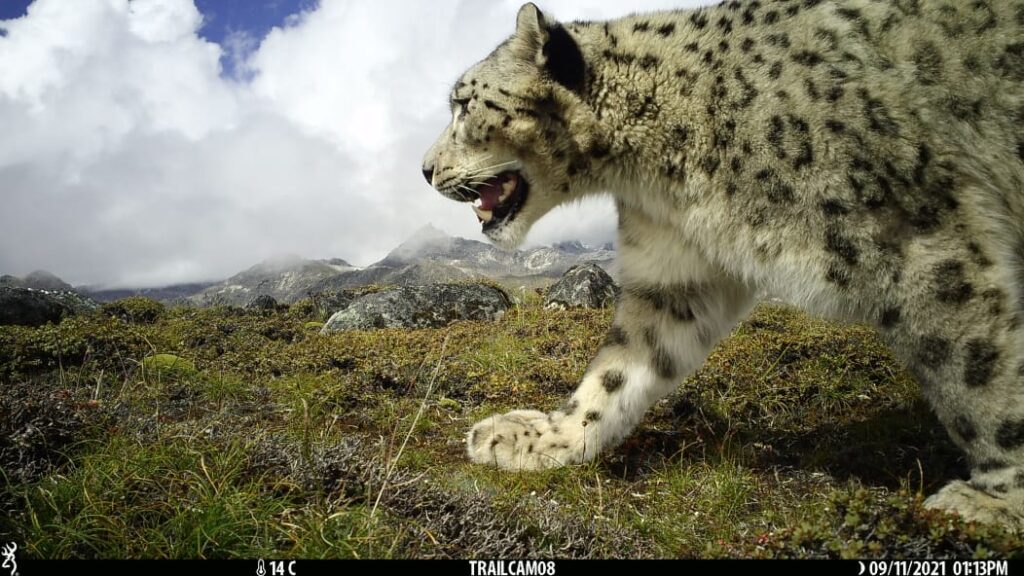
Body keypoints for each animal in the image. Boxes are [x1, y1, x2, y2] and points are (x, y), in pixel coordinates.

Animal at [421, 0, 1024, 528]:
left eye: (464, 104)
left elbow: (976, 370)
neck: (660, 173)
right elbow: (618, 369)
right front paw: (544, 438)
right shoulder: (675, 273)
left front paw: (999, 498)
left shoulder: (918, 240)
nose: (425, 170)